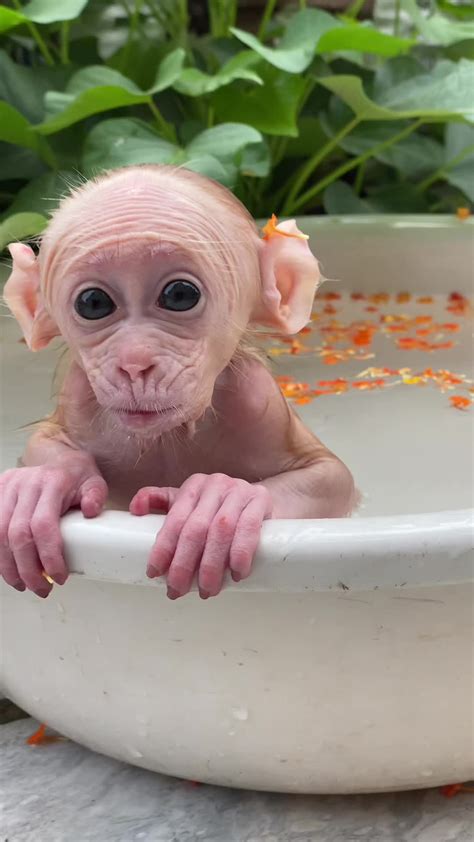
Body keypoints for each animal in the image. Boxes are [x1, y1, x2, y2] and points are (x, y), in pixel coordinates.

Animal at [0, 165, 356, 601]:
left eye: (180, 295)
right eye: (93, 303)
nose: (134, 363)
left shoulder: (257, 398)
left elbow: (329, 476)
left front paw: (226, 500)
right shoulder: (80, 392)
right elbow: (44, 442)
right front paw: (46, 482)